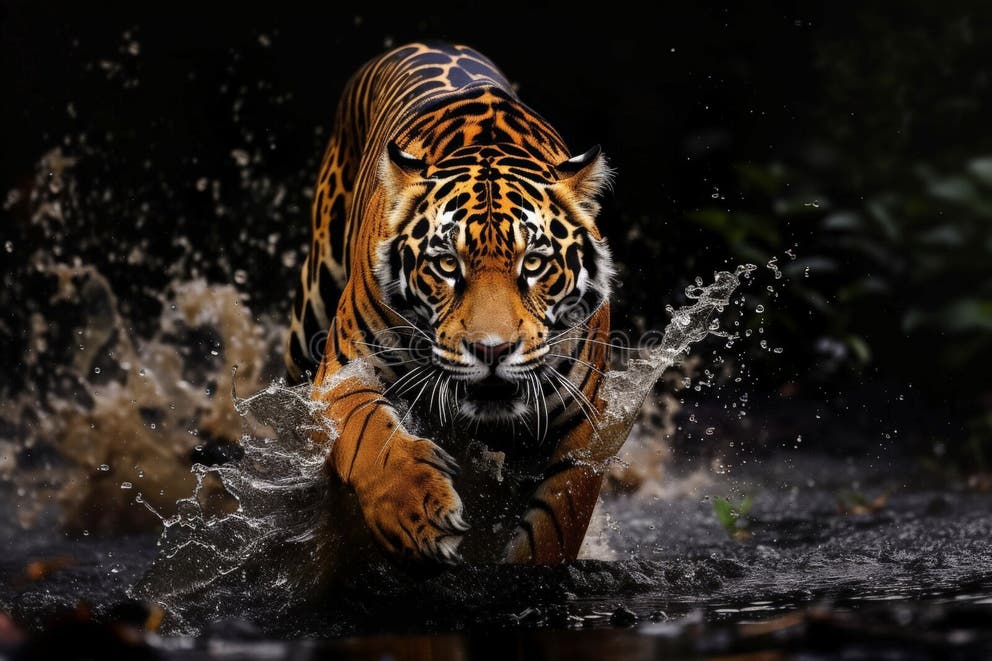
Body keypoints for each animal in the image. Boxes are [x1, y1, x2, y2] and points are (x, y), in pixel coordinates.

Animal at [285, 41, 616, 567]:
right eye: (445, 264)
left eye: (534, 263)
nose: (491, 351)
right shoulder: (341, 369)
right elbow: (369, 434)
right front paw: (416, 512)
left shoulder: (585, 418)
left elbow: (559, 520)